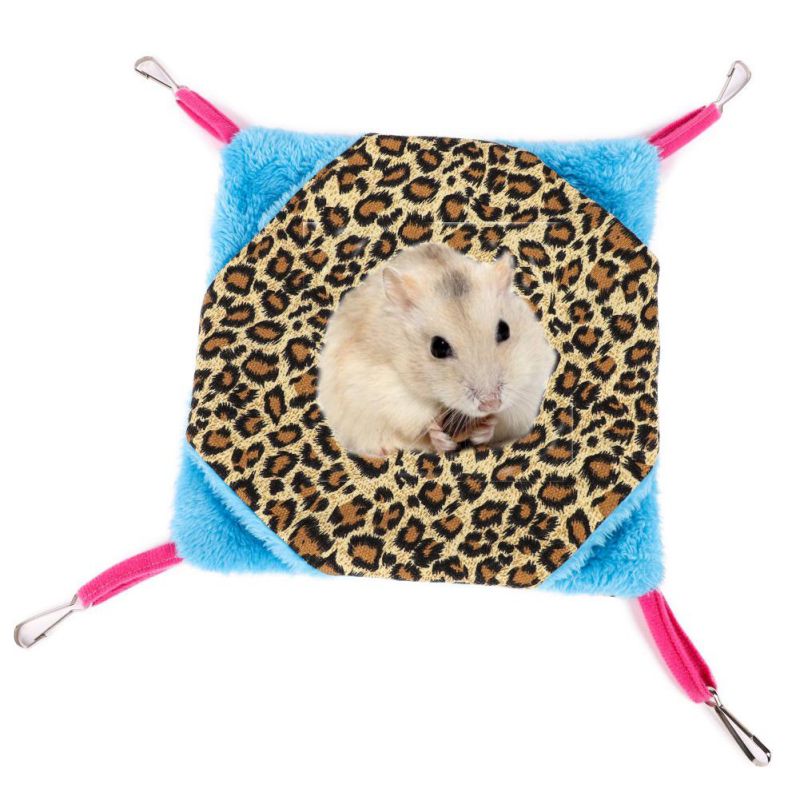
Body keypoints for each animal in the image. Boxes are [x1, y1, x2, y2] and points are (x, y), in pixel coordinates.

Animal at [317, 242, 557, 457]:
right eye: (438, 347)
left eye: (504, 330)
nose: (491, 403)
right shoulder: (384, 390)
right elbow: (416, 420)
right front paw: (440, 438)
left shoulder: (530, 382)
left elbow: (507, 417)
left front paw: (485, 429)